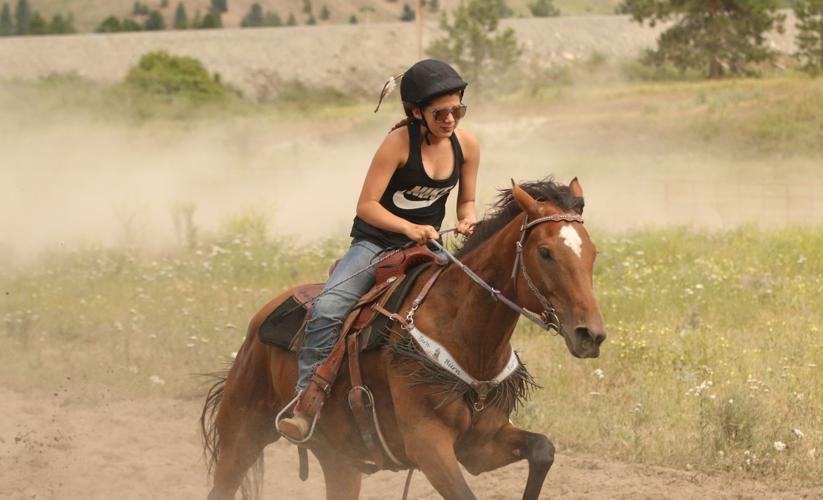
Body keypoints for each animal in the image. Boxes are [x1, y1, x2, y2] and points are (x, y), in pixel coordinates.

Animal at [201, 177, 607, 500]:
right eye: (545, 252)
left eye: (592, 251)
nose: (591, 334)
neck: (466, 334)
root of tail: (260, 321)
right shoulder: (426, 443)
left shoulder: (481, 444)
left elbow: (543, 449)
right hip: (241, 433)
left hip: (339, 460)